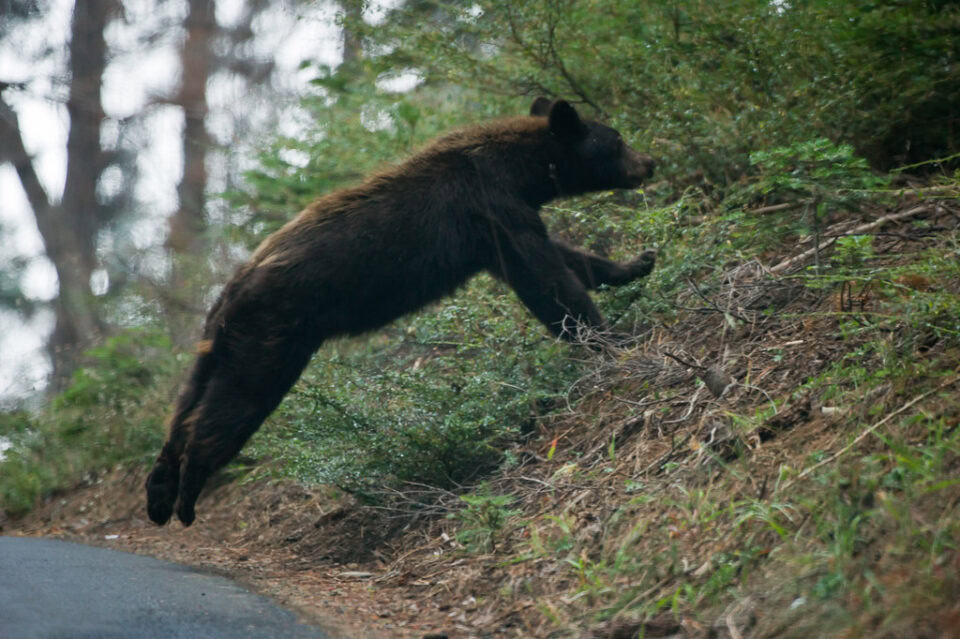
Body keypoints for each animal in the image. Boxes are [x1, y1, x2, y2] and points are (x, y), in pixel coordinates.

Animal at [146, 97, 656, 526]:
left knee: (185, 407)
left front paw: (635, 263)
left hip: (216, 346)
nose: (650, 162)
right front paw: (608, 338)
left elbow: (565, 258)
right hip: (269, 338)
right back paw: (188, 495)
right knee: (232, 405)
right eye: (616, 139)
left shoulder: (499, 225)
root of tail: (230, 292)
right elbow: (545, 280)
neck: (519, 171)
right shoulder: (493, 210)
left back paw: (158, 493)